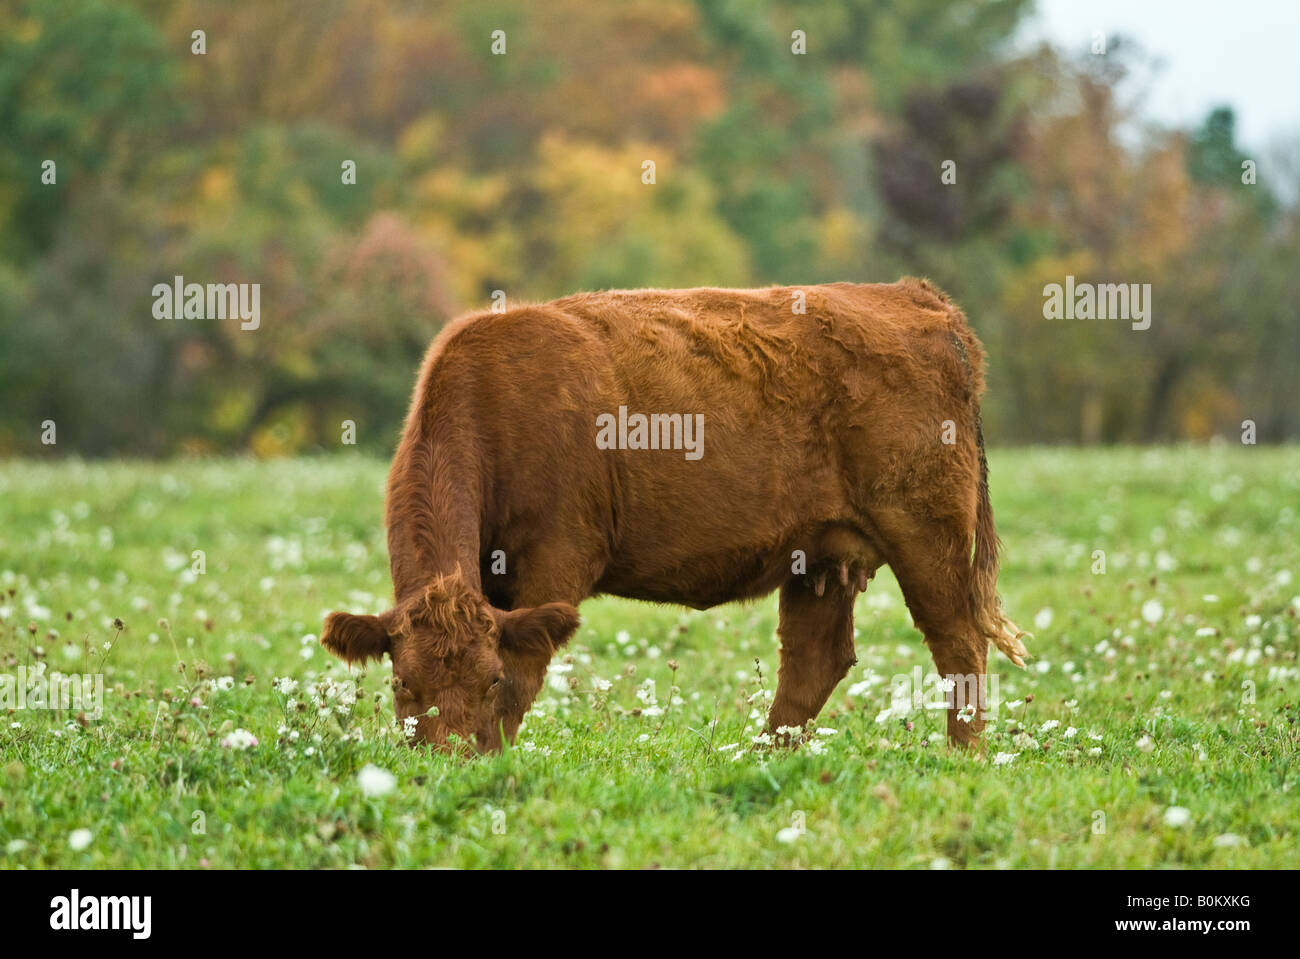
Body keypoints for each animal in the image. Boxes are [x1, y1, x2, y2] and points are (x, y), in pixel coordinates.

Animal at [320, 279, 1026, 752]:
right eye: (401, 686)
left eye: (486, 681)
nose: (449, 763)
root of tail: (915, 296)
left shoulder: (557, 558)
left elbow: (527, 673)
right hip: (822, 553)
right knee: (813, 661)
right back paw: (765, 757)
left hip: (925, 530)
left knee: (958, 643)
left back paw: (962, 757)